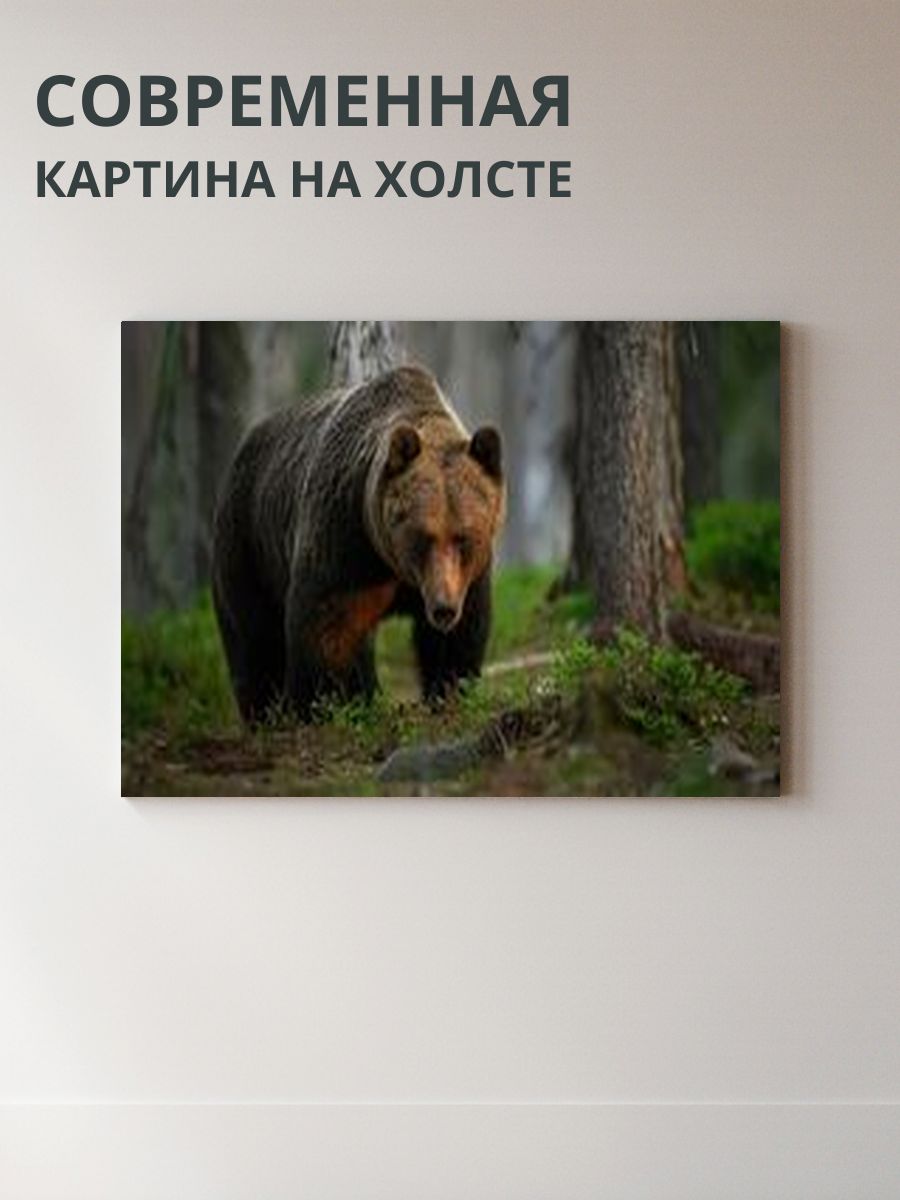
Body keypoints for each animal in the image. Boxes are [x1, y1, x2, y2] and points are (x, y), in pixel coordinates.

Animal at [211, 364, 505, 723]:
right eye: (423, 536)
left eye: (463, 537)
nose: (443, 608)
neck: (394, 564)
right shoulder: (346, 543)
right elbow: (327, 628)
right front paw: (320, 705)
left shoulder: (467, 577)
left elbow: (459, 636)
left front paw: (448, 690)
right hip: (247, 543)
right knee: (253, 636)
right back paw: (265, 712)